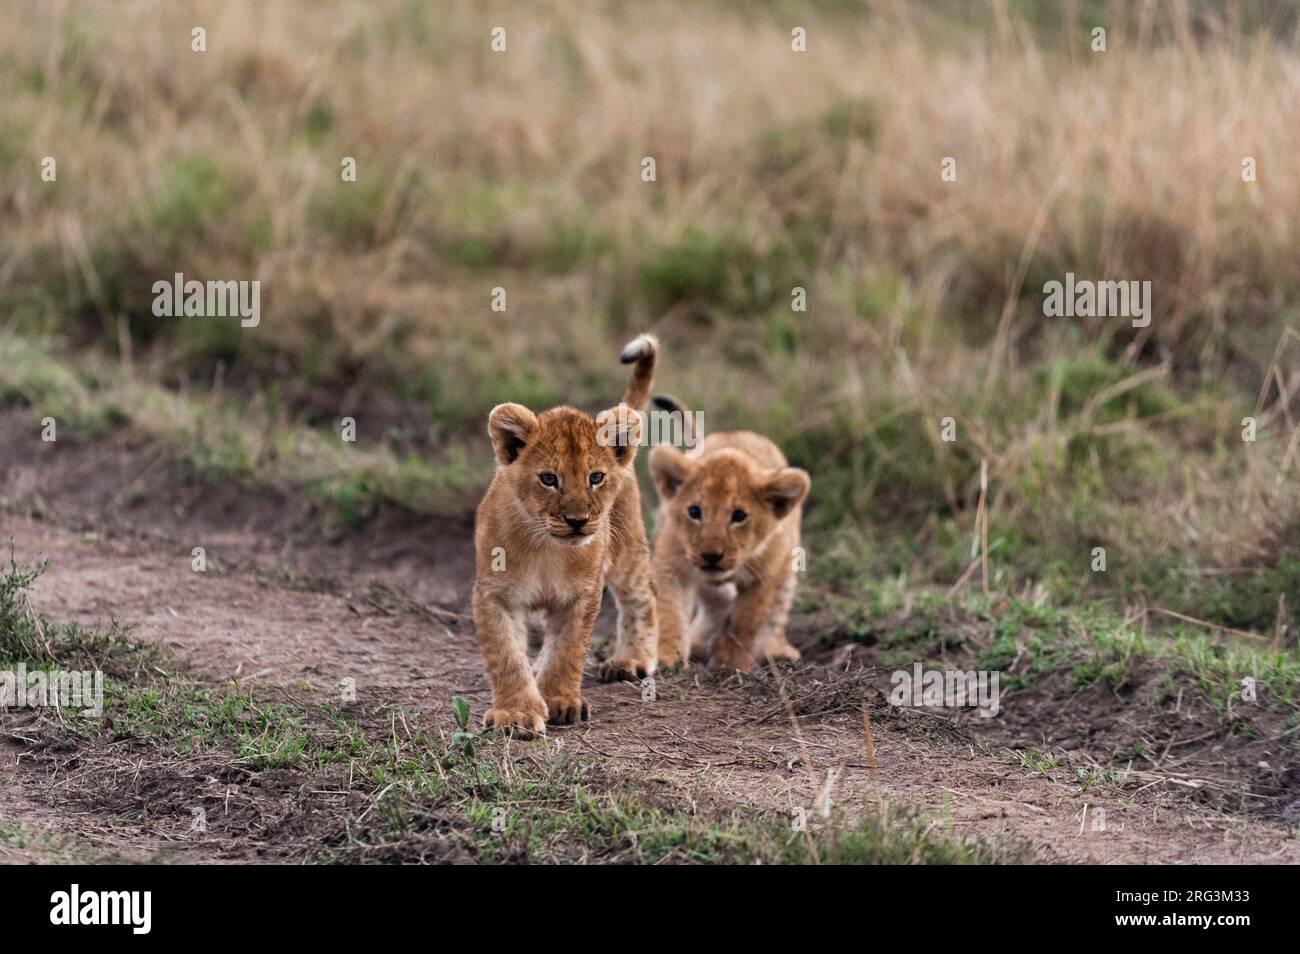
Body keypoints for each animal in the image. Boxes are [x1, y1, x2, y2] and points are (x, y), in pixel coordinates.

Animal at [471, 335, 660, 736]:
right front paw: (517, 712)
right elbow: (506, 655)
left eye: (595, 477)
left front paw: (559, 700)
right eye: (549, 479)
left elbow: (568, 649)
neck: (547, 548)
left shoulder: (581, 595)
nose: (578, 520)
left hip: (627, 549)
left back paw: (630, 660)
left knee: (642, 596)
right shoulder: (494, 594)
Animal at [648, 396, 810, 672]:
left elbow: (745, 621)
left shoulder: (764, 575)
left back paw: (777, 650)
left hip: (788, 564)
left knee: (777, 609)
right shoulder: (672, 563)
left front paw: (731, 662)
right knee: (717, 600)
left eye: (739, 516)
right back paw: (699, 641)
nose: (711, 556)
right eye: (694, 511)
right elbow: (670, 612)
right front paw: (666, 657)